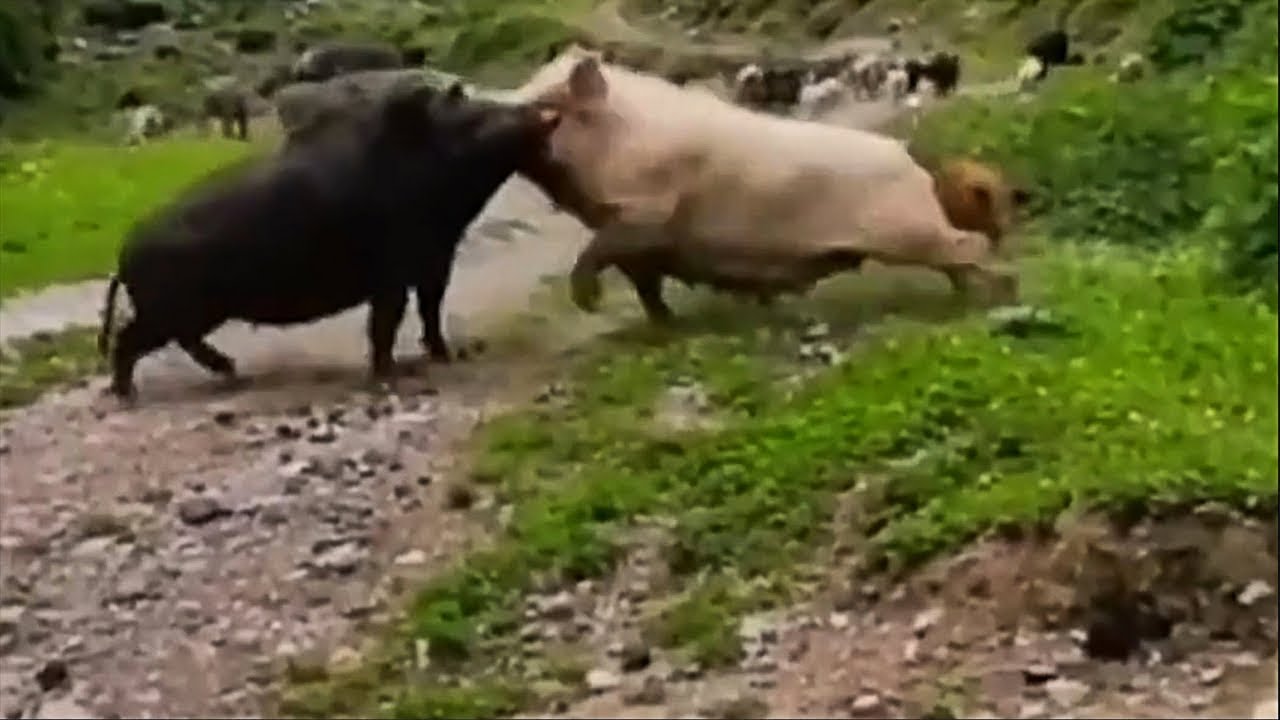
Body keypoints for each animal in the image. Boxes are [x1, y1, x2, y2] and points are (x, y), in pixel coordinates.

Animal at [97, 82, 562, 401]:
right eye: (473, 118)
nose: (547, 113)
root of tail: (122, 256)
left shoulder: (436, 261)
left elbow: (430, 310)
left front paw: (445, 356)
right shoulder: (390, 270)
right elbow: (386, 322)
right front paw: (387, 374)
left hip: (187, 311)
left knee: (167, 339)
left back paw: (228, 372)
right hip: (172, 308)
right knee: (128, 339)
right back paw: (130, 393)